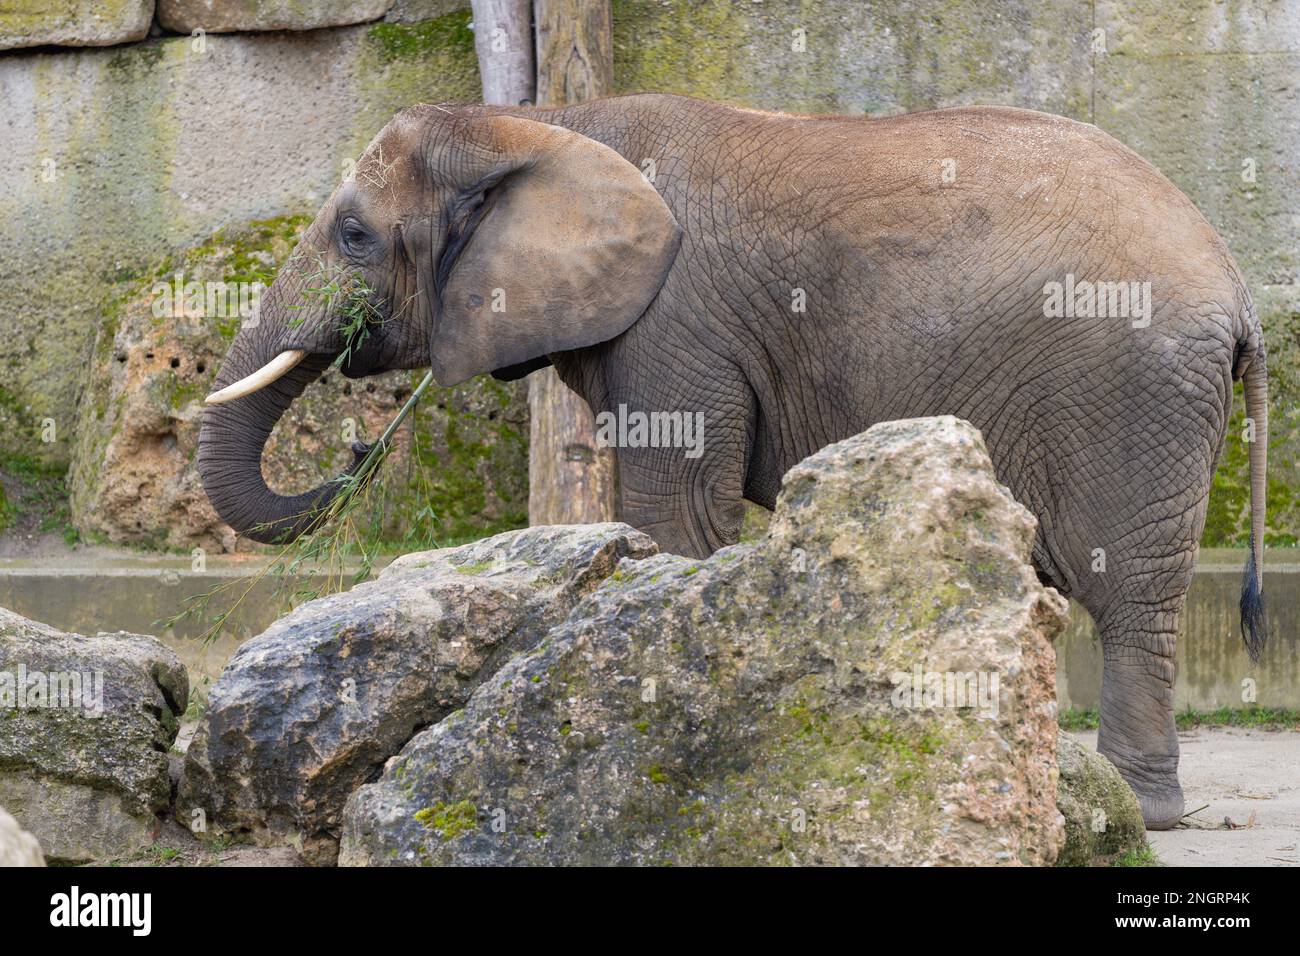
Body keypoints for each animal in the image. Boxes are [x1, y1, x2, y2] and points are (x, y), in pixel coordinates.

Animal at [198, 93, 1269, 831]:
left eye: (353, 234)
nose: (356, 441)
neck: (538, 124)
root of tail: (1234, 277)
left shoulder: (677, 321)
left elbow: (677, 515)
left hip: (1134, 396)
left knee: (1126, 593)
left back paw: (1133, 807)